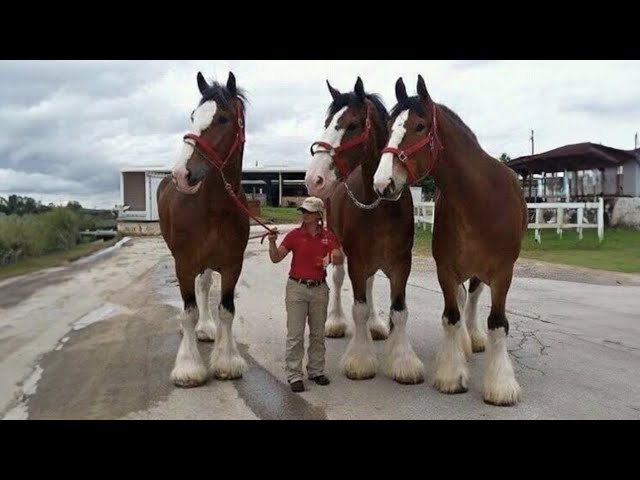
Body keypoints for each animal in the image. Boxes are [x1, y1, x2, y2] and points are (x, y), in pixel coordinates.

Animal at [157, 71, 249, 388]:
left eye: (222, 118)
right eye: (193, 116)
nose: (181, 175)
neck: (213, 210)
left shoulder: (233, 266)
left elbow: (227, 310)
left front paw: (226, 360)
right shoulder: (183, 265)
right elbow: (188, 312)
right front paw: (188, 367)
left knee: (206, 285)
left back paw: (206, 328)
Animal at [305, 77, 424, 385]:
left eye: (352, 124)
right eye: (328, 122)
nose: (314, 179)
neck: (380, 204)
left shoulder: (401, 263)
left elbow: (400, 311)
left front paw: (403, 361)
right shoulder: (356, 261)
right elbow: (357, 308)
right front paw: (360, 360)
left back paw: (374, 324)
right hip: (338, 249)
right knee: (337, 279)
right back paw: (335, 321)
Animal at [373, 75, 528, 406]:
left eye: (419, 126)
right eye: (390, 125)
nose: (382, 183)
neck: (479, 200)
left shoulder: (503, 273)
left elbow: (497, 324)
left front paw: (500, 385)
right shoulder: (445, 269)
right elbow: (451, 317)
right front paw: (451, 375)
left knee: (474, 297)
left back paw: (475, 339)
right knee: (461, 298)